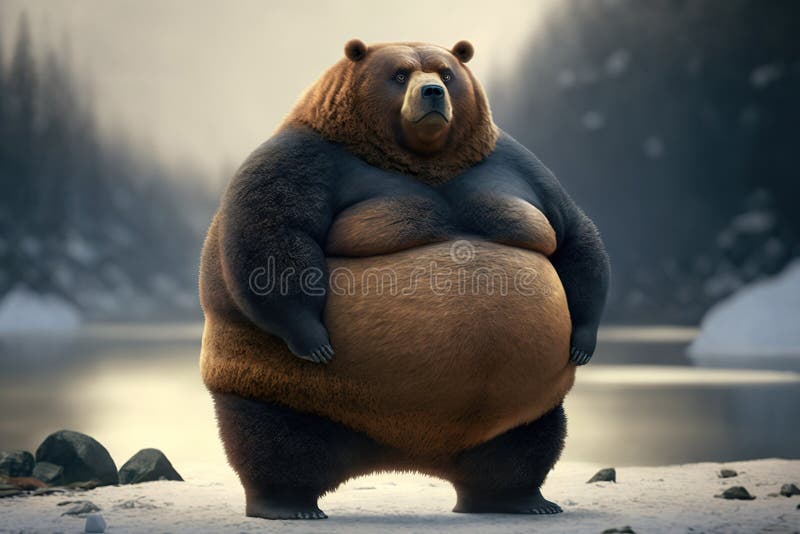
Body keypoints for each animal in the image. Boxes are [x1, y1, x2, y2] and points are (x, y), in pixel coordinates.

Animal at [199, 39, 610, 520]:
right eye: (399, 74)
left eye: (446, 72)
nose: (432, 92)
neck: (424, 158)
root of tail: (411, 451)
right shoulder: (308, 159)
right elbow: (271, 231)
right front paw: (313, 337)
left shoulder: (516, 165)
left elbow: (572, 234)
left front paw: (583, 341)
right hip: (278, 384)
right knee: (275, 440)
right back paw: (287, 503)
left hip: (521, 406)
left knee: (526, 444)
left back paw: (521, 500)